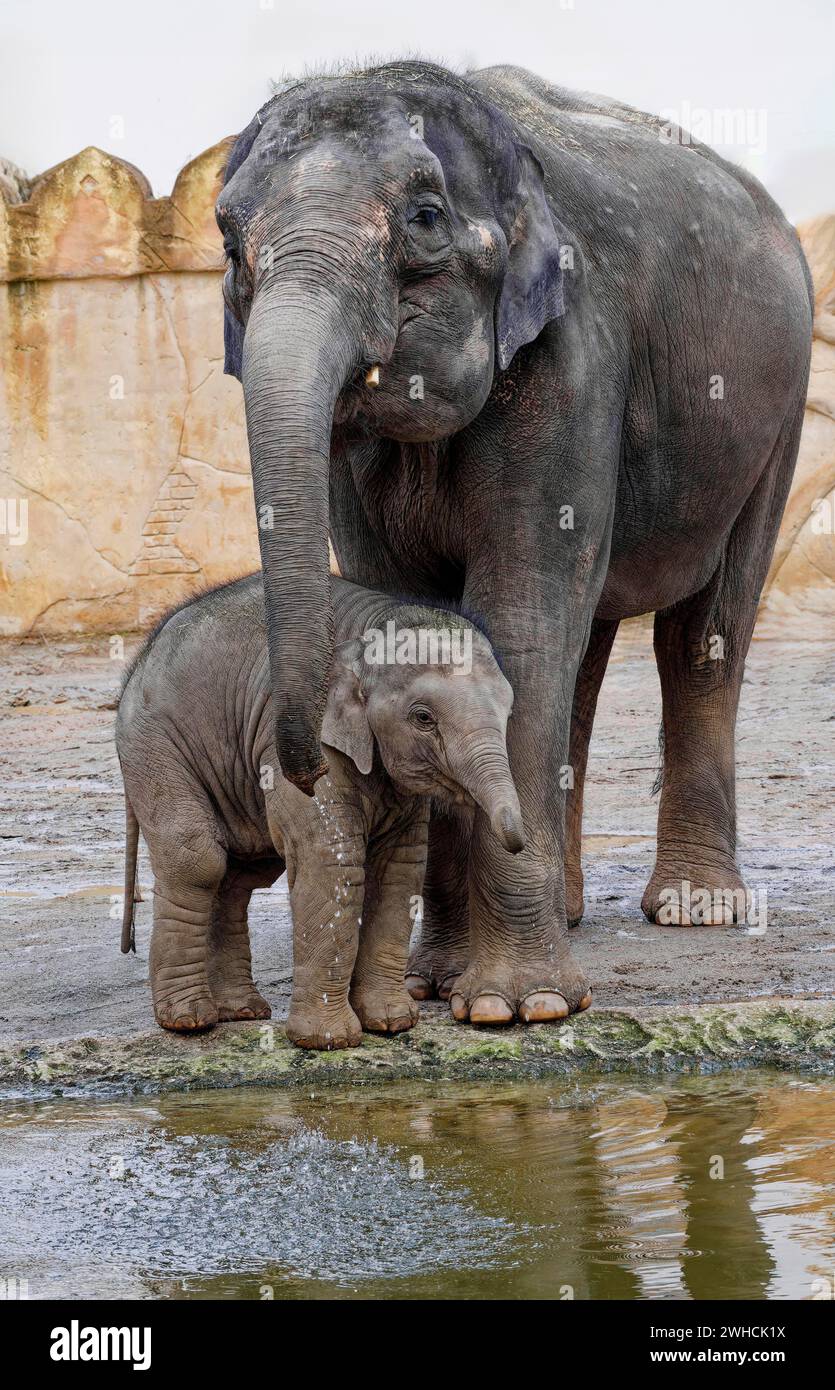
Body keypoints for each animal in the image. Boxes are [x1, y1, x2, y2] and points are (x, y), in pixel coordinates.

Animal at [116, 572, 533, 1047]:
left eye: (508, 713)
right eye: (423, 718)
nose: (517, 842)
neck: (373, 628)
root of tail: (135, 667)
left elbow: (400, 868)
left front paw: (391, 1023)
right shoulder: (305, 740)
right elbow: (332, 861)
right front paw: (330, 1041)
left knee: (241, 874)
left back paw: (240, 1012)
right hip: (155, 746)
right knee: (198, 859)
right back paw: (189, 1021)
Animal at [217, 61, 813, 1028]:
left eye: (423, 219)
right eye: (228, 242)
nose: (298, 770)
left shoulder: (570, 356)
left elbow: (521, 617)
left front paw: (516, 1006)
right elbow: (424, 622)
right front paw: (434, 985)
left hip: (777, 413)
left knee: (702, 636)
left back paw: (696, 909)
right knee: (589, 648)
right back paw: (569, 909)